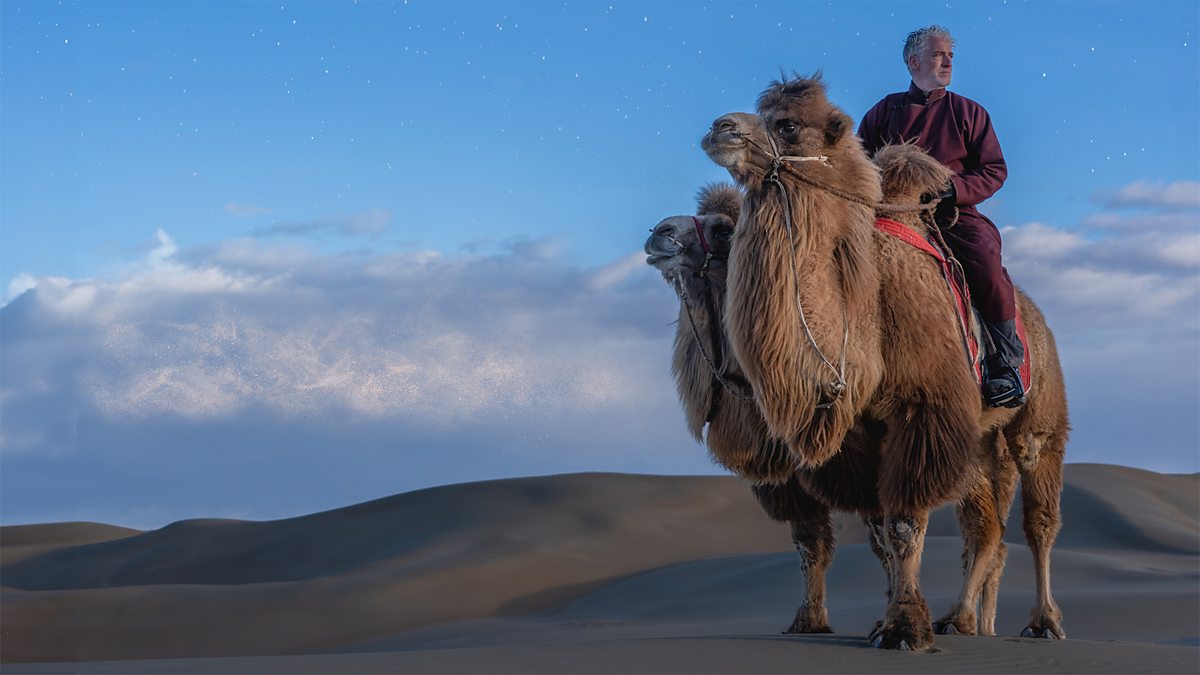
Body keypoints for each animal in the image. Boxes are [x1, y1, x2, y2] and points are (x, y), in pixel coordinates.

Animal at [697, 75, 1069, 650]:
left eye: (787, 124)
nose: (720, 127)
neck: (866, 313)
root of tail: (1039, 320)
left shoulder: (924, 410)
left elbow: (904, 524)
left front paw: (903, 627)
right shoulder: (858, 432)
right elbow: (879, 530)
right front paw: (891, 618)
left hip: (1038, 421)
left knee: (1039, 521)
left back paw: (1042, 622)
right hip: (982, 439)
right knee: (985, 528)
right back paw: (966, 620)